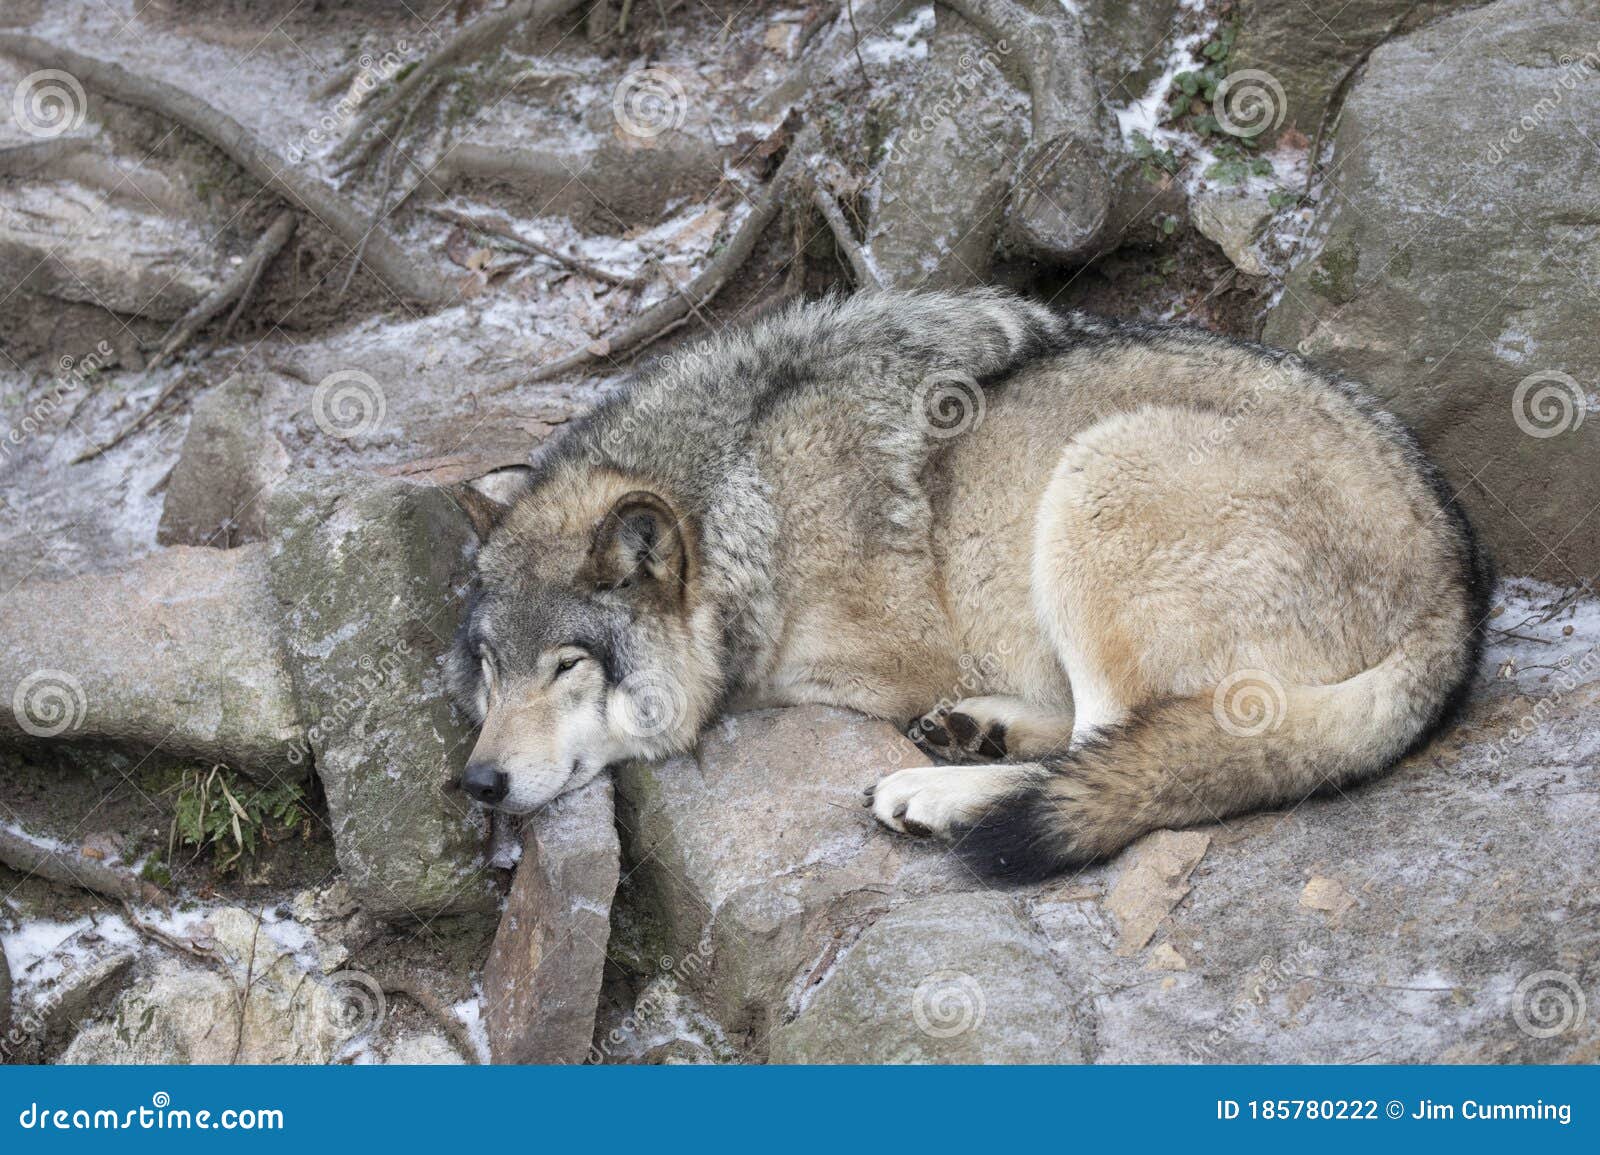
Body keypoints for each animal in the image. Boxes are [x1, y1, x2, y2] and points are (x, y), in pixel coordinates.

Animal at [447, 289, 1491, 882]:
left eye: (569, 665)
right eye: (493, 667)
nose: (477, 782)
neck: (749, 488)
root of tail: (1458, 585)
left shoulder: (876, 654)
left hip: (1096, 482)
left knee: (1108, 740)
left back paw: (940, 793)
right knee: (1098, 736)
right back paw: (974, 729)